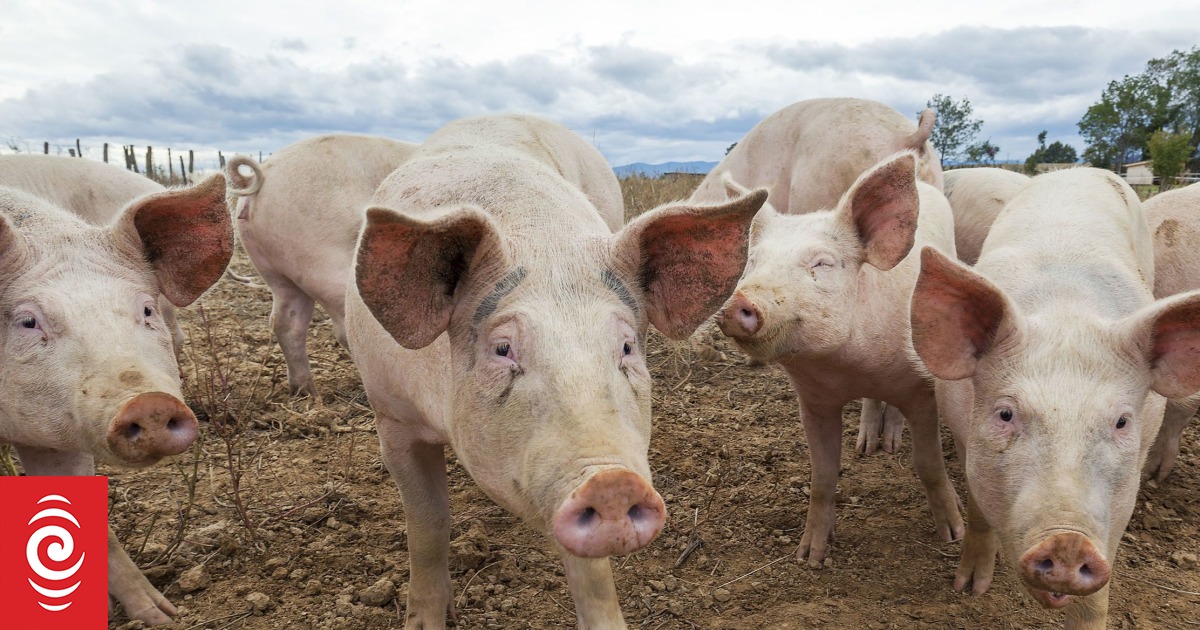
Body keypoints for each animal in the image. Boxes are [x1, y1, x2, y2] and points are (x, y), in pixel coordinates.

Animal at [225, 134, 420, 397]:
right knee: (348, 326)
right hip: (326, 257)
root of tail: (263, 174)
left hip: (277, 269)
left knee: (286, 321)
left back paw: (306, 392)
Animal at [344, 113, 767, 629]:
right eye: (503, 349)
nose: (610, 482)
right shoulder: (391, 416)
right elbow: (427, 524)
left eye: (626, 346)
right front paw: (426, 621)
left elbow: (591, 570)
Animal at [714, 152, 964, 567]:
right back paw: (866, 446)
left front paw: (953, 535)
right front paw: (810, 557)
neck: (850, 368)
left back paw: (889, 446)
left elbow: (928, 463)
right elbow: (823, 475)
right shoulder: (814, 403)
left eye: (821, 263)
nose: (737, 303)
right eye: (754, 261)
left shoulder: (921, 388)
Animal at [910, 168, 1200, 629]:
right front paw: (970, 588)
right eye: (1005, 414)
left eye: (1122, 421)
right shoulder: (962, 425)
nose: (1068, 542)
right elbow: (977, 511)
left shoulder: (1125, 484)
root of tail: (1081, 169)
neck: (1065, 309)